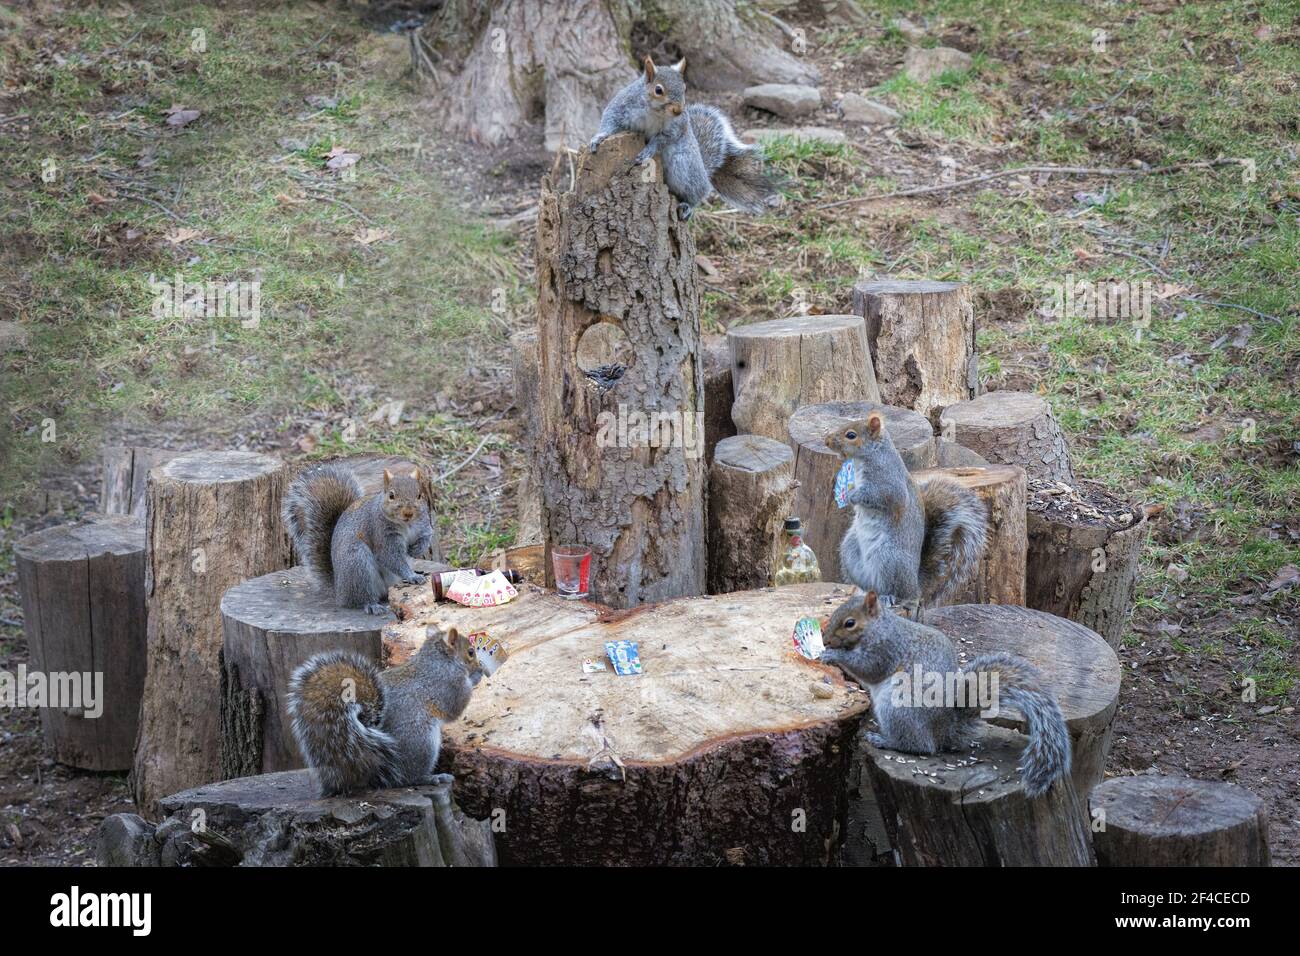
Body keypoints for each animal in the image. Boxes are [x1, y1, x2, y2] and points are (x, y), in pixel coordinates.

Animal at [283, 462, 434, 616]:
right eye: (391, 495)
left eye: (419, 495)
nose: (408, 513)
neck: (407, 524)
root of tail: (339, 591)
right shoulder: (381, 533)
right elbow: (390, 557)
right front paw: (412, 576)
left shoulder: (423, 525)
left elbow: (426, 537)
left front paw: (416, 550)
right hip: (357, 564)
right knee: (361, 597)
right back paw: (372, 605)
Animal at [286, 624, 486, 796]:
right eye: (470, 652)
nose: (479, 665)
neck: (439, 660)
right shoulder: (448, 684)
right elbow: (456, 706)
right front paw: (476, 676)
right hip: (421, 740)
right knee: (406, 778)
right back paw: (432, 777)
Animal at [589, 55, 779, 220]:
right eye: (658, 90)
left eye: (684, 88)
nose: (678, 110)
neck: (655, 111)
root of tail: (704, 172)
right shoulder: (622, 106)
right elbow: (610, 120)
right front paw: (598, 138)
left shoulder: (677, 126)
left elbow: (664, 138)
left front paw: (648, 150)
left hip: (684, 168)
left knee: (697, 193)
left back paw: (689, 205)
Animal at [818, 590, 1072, 798]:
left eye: (850, 623)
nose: (826, 640)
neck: (877, 628)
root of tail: (945, 731)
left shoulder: (886, 649)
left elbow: (868, 668)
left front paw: (833, 656)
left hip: (898, 707)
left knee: (920, 746)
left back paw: (884, 740)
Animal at [825, 412, 987, 617]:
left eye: (851, 435)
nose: (826, 440)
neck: (871, 456)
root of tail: (914, 586)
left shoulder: (889, 482)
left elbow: (881, 496)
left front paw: (852, 495)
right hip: (850, 552)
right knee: (870, 586)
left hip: (888, 558)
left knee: (895, 591)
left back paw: (888, 597)